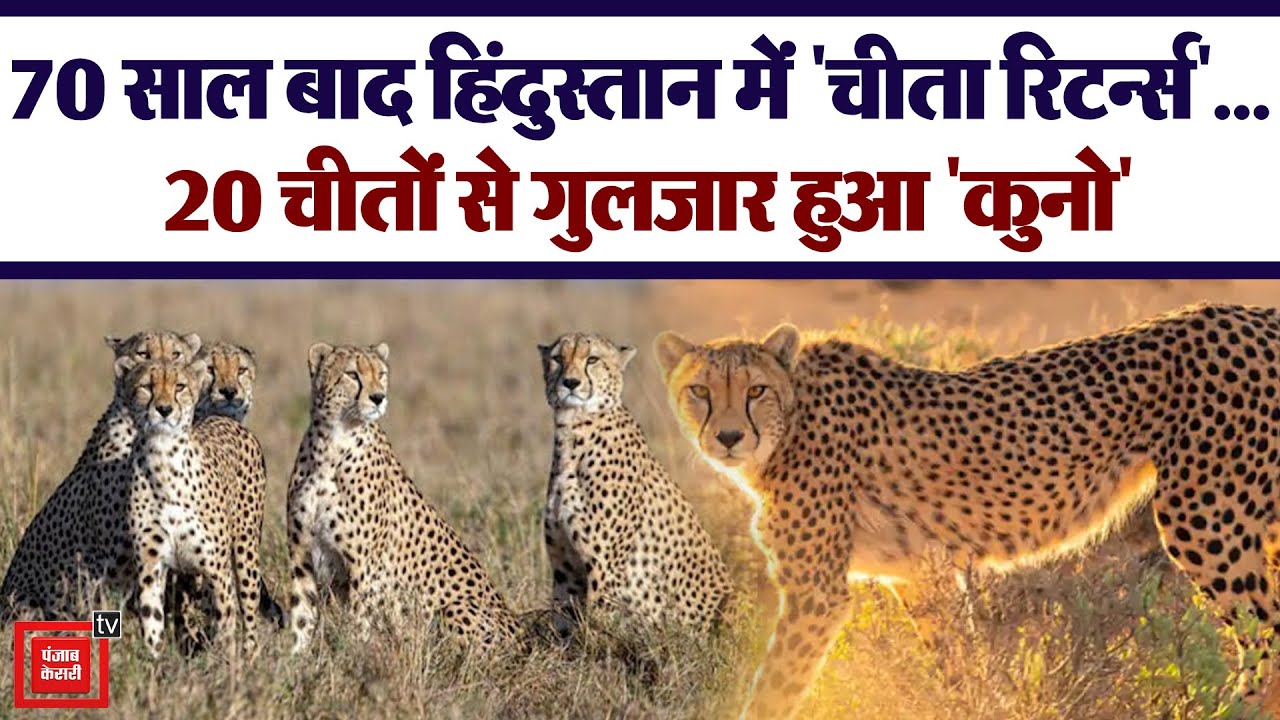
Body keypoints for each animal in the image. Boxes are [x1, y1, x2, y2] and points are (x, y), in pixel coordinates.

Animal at [125, 357, 268, 657]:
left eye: (179, 386)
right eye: (146, 386)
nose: (164, 409)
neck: (163, 460)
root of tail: (223, 418)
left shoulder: (217, 569)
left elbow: (225, 625)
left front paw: (226, 666)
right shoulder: (150, 566)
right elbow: (152, 622)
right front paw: (155, 663)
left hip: (245, 552)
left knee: (249, 612)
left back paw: (251, 655)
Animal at [286, 342, 519, 654]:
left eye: (381, 374)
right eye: (352, 374)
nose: (378, 398)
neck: (331, 444)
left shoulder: (365, 566)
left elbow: (359, 621)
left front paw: (355, 656)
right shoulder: (302, 554)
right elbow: (301, 616)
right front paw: (294, 659)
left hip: (453, 609)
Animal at [538, 331, 735, 635]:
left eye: (592, 359)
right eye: (558, 358)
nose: (570, 383)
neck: (573, 430)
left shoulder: (604, 568)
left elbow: (597, 625)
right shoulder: (565, 570)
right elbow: (564, 623)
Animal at [656, 303, 1280, 719]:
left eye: (756, 389)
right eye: (700, 392)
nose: (729, 437)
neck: (792, 420)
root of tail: (1251, 314)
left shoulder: (817, 593)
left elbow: (774, 685)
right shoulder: (919, 577)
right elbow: (959, 665)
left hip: (1206, 516)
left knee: (1265, 635)